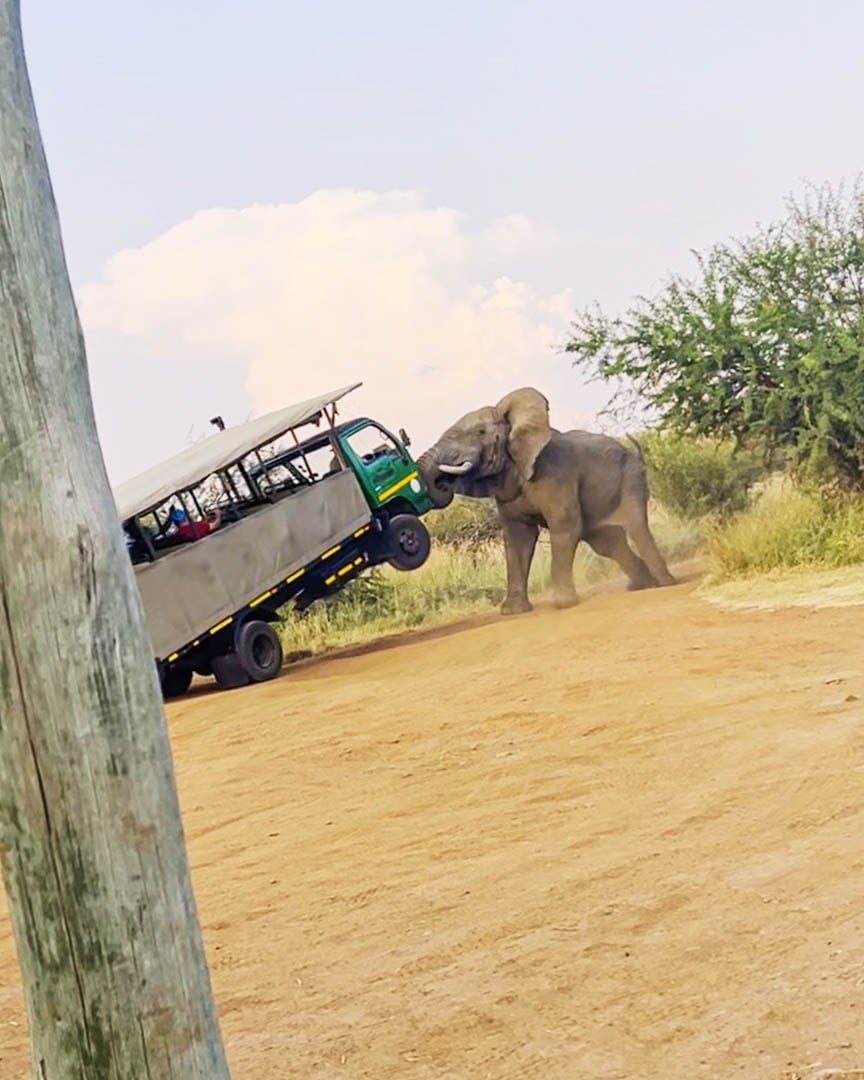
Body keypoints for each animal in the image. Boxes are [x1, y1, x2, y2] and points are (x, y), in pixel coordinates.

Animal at [416, 387, 676, 615]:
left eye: (480, 432)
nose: (441, 482)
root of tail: (634, 453)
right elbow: (518, 539)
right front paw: (512, 611)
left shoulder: (556, 474)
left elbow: (565, 527)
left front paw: (562, 603)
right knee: (607, 543)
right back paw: (641, 585)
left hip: (631, 481)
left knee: (636, 529)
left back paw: (666, 583)